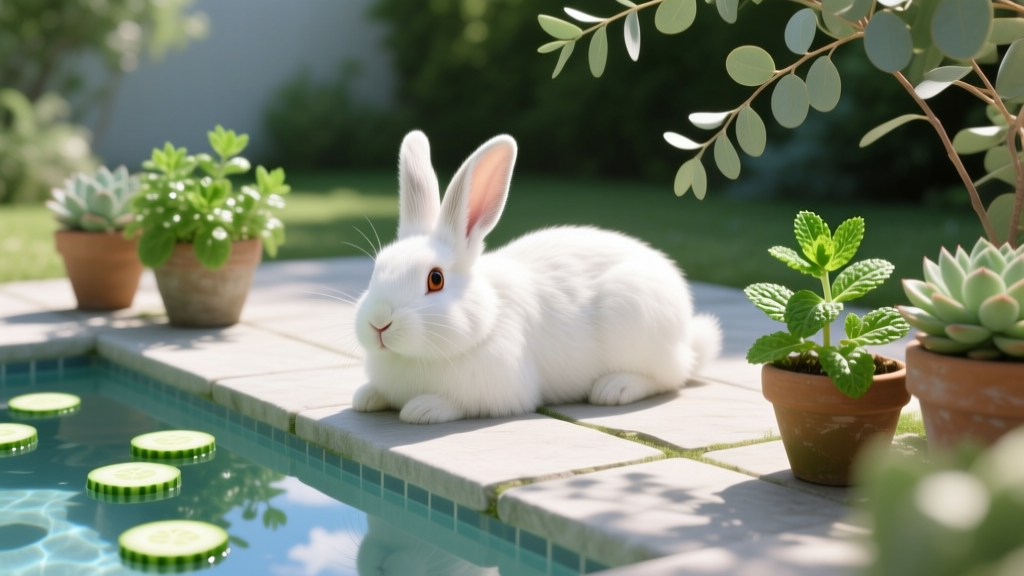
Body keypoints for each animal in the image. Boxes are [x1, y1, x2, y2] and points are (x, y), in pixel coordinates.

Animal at [351, 131, 722, 424]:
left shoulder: (499, 390)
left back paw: (614, 388)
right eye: (376, 269)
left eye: (435, 280)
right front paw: (364, 397)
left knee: (669, 377)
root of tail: (686, 337)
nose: (379, 323)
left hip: (635, 316)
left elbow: (459, 403)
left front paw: (423, 408)